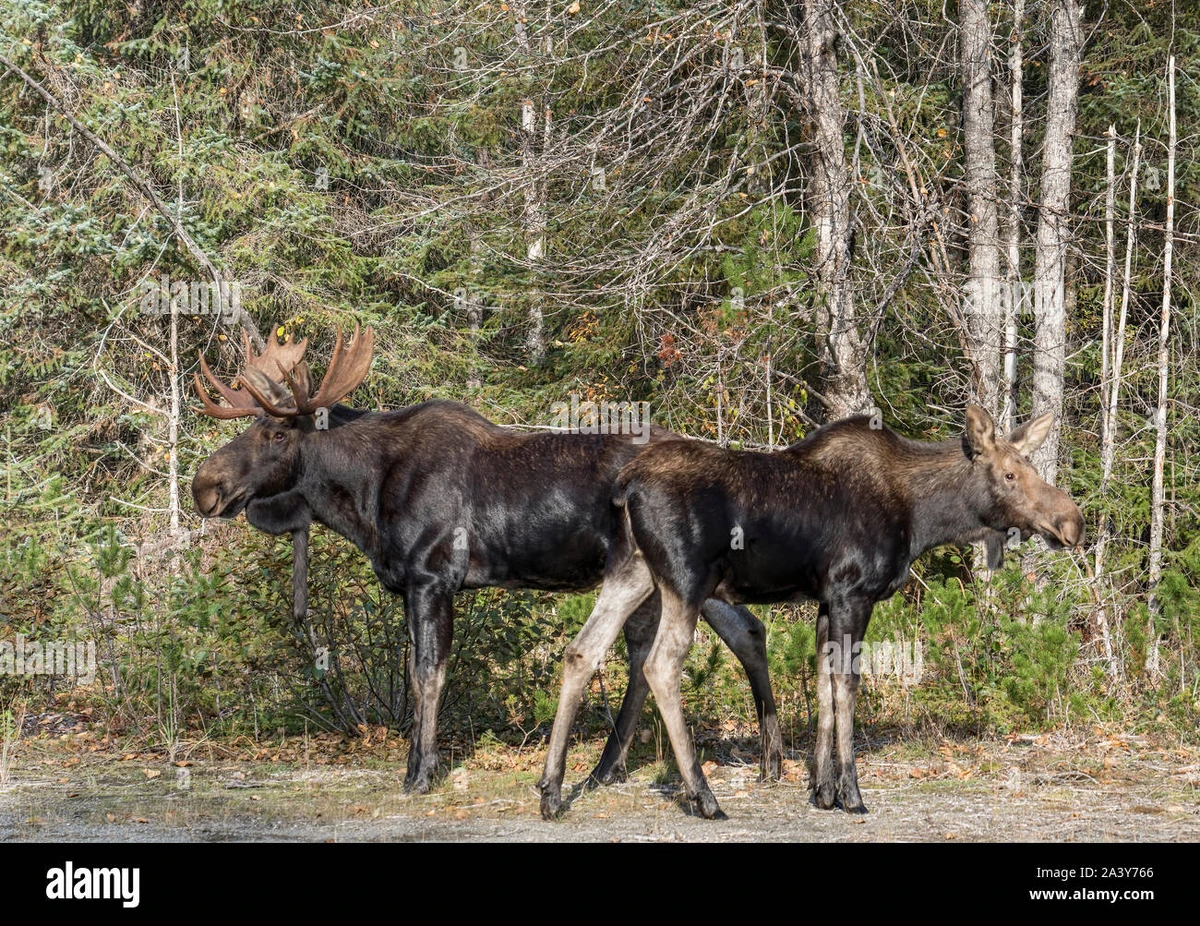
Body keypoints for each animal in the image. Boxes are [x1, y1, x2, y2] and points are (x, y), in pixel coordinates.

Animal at [190, 326, 784, 795]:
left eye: (275, 432)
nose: (204, 486)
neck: (363, 499)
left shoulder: (432, 578)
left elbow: (427, 675)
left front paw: (420, 773)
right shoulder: (414, 585)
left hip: (668, 569)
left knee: (675, 650)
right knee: (740, 633)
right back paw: (754, 763)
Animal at [538, 405, 1085, 821]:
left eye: (1034, 470)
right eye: (1010, 474)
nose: (1072, 522)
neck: (923, 518)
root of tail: (626, 487)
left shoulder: (826, 599)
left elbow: (823, 682)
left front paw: (822, 790)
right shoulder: (852, 592)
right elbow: (847, 686)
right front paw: (852, 794)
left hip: (631, 571)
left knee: (581, 651)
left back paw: (552, 791)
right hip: (685, 580)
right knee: (659, 665)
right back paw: (703, 796)